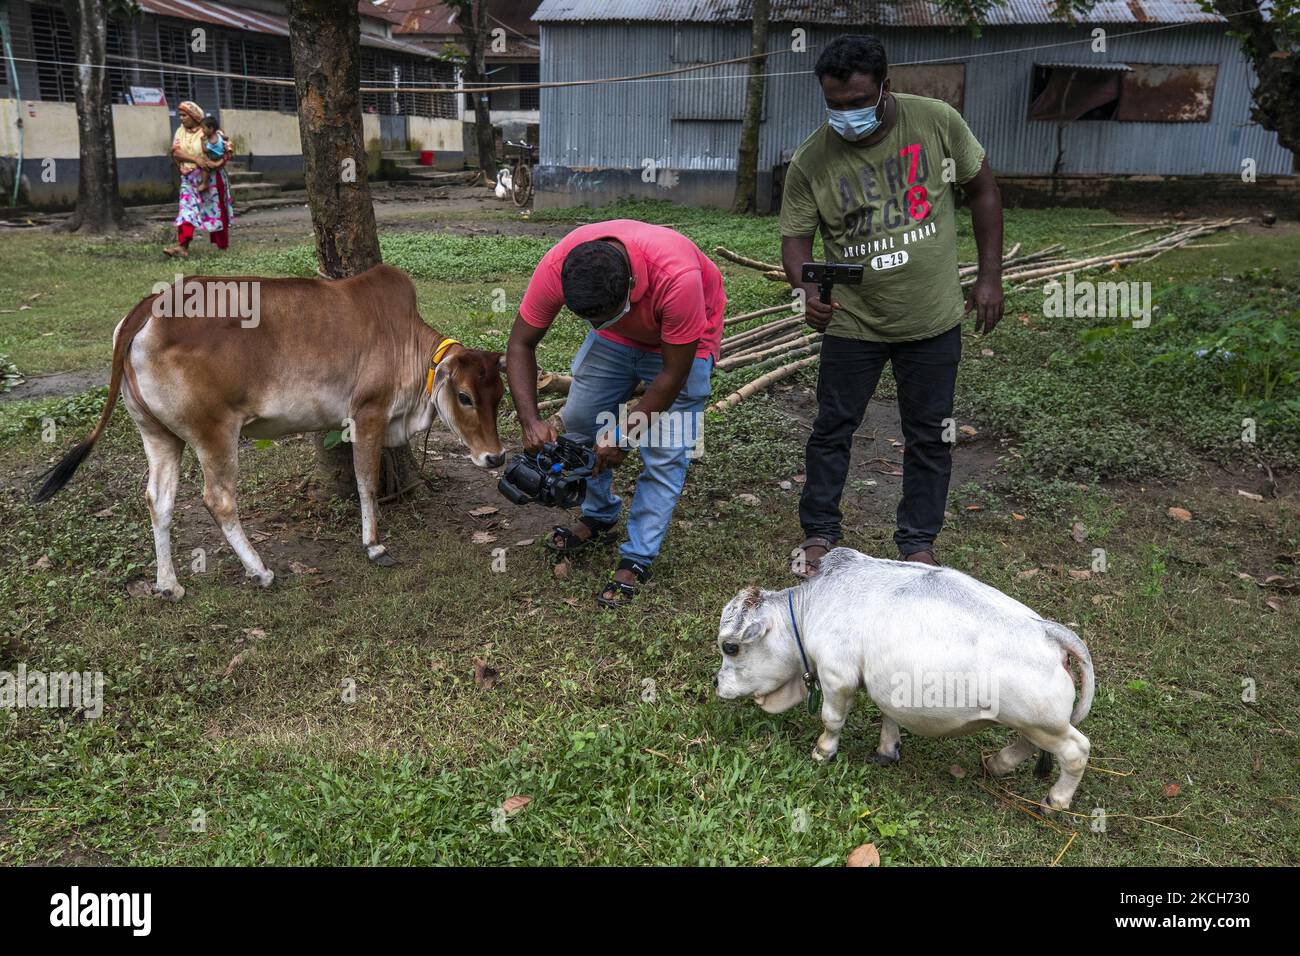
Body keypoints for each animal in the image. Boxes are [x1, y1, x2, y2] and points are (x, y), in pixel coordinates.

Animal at [33, 265, 506, 599]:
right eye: (464, 396)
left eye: (500, 397)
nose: (495, 457)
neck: (404, 339)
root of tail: (150, 305)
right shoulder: (367, 415)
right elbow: (366, 483)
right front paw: (374, 546)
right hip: (215, 432)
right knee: (218, 499)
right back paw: (260, 571)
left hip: (158, 434)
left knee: (158, 500)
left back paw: (169, 585)